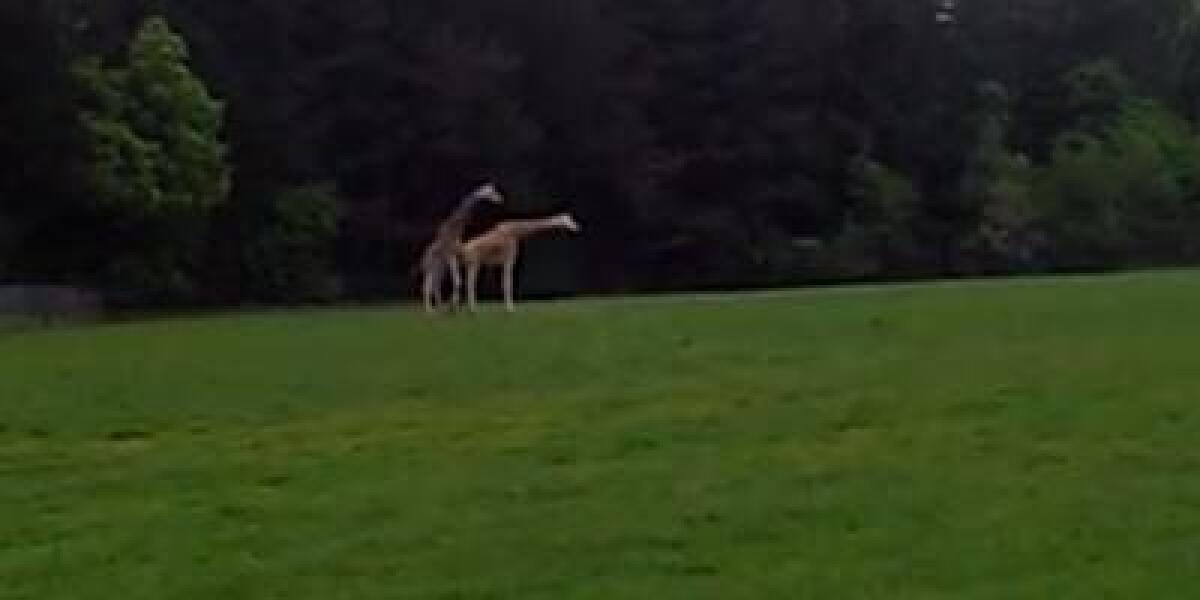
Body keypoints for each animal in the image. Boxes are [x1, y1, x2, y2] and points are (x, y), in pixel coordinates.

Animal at [418, 183, 504, 313]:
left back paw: (440, 307)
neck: (455, 230)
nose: (500, 199)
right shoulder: (450, 254)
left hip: (440, 268)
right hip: (431, 267)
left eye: (494, 191)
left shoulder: (456, 254)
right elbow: (458, 281)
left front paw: (455, 306)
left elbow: (459, 281)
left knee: (435, 285)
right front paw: (454, 305)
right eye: (490, 192)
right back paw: (430, 310)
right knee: (427, 286)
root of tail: (423, 259)